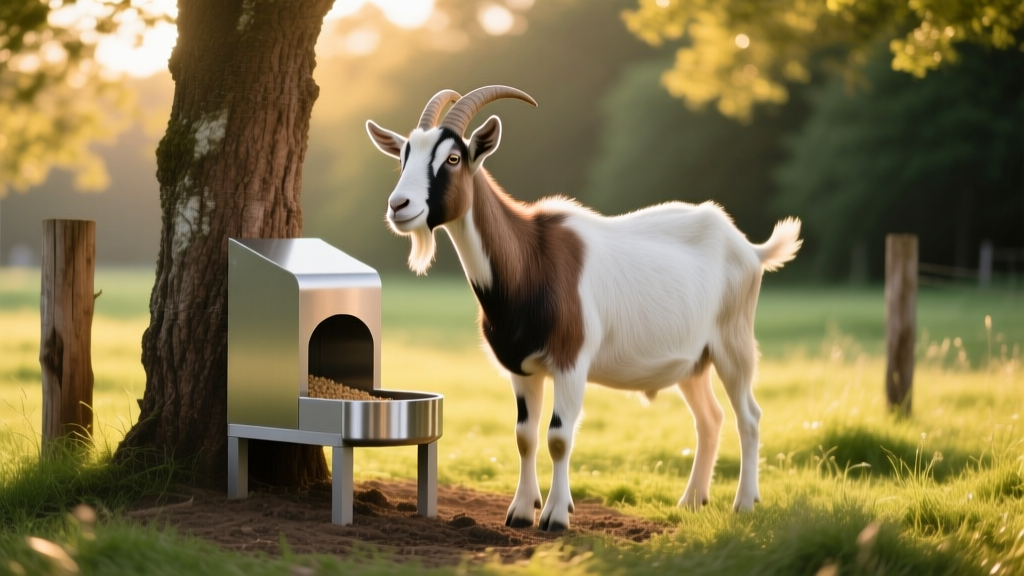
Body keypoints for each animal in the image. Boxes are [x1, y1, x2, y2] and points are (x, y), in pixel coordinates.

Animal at [366, 86, 802, 532]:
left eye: (452, 158)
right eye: (403, 156)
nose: (399, 205)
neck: (529, 261)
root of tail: (748, 248)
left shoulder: (571, 363)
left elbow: (559, 437)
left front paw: (556, 516)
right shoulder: (521, 368)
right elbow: (524, 435)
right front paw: (521, 511)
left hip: (733, 343)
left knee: (749, 416)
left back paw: (744, 503)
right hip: (693, 362)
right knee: (710, 418)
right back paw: (691, 501)